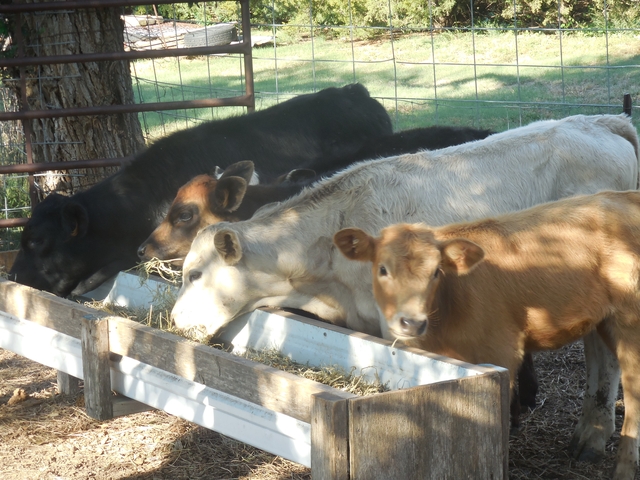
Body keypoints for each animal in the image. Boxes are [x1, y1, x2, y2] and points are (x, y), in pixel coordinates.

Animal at [333, 189, 640, 480]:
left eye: (436, 272)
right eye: (382, 269)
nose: (411, 322)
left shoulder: (502, 351)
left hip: (630, 323)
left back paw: (624, 469)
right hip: (605, 322)